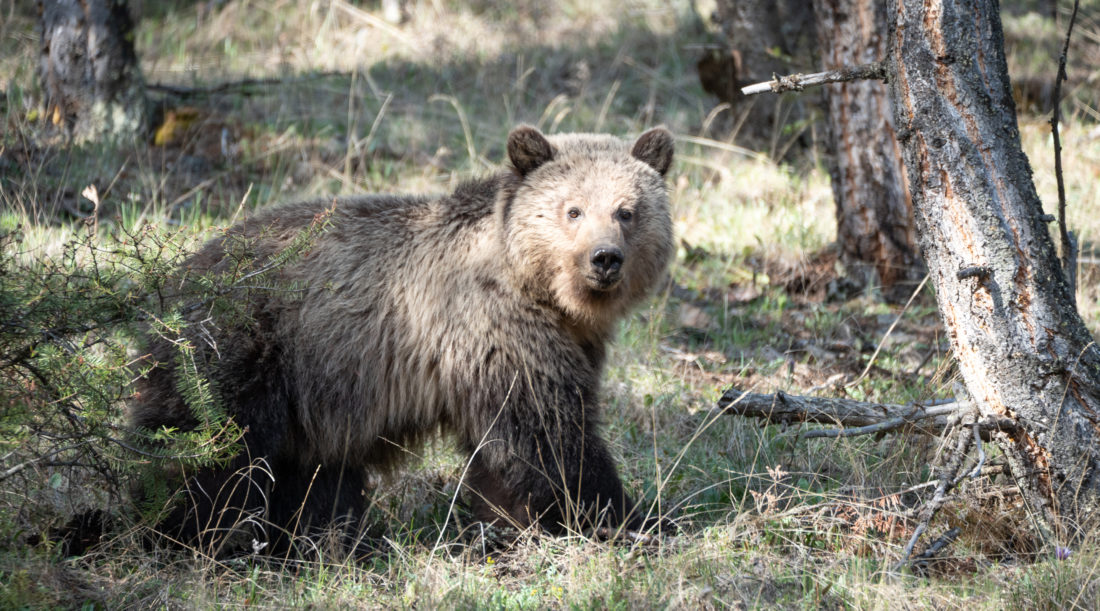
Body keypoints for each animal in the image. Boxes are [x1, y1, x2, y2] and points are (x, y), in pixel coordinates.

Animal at [131, 125, 675, 553]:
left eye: (626, 211)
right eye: (574, 210)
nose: (604, 259)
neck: (544, 294)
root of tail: (178, 276)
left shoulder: (562, 344)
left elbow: (507, 458)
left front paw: (509, 526)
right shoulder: (498, 336)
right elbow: (552, 440)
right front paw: (630, 519)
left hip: (315, 392)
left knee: (312, 476)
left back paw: (315, 542)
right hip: (240, 352)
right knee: (206, 453)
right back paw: (180, 532)